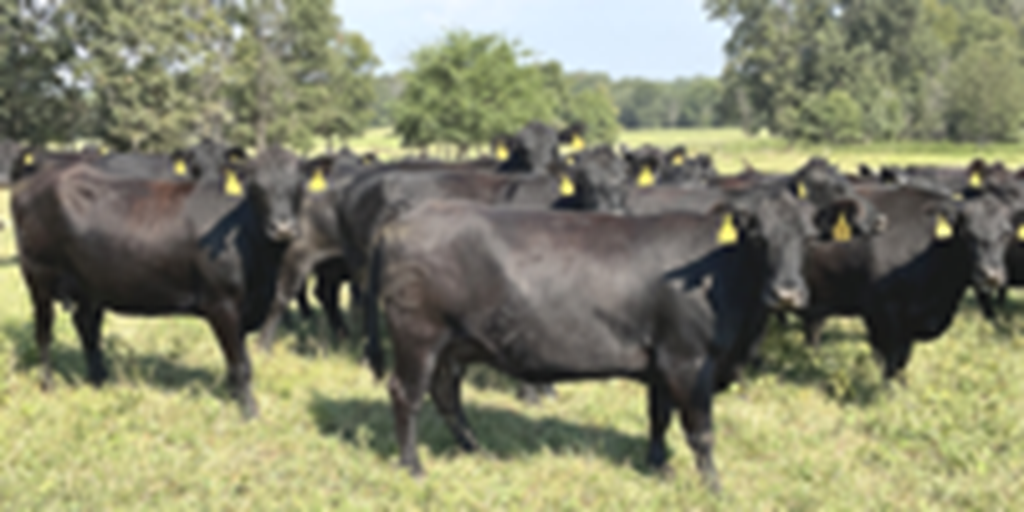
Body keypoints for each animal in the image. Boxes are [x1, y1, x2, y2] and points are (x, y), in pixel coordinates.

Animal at [10, 145, 310, 419]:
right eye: (256, 186)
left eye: (300, 185)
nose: (283, 227)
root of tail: (33, 181)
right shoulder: (221, 303)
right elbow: (240, 363)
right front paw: (249, 411)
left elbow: (241, 359)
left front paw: (236, 397)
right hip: (38, 276)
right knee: (44, 332)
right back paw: (48, 383)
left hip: (89, 282)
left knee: (86, 326)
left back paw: (99, 380)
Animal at [366, 182, 876, 489]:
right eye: (758, 236)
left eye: (810, 237)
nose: (787, 292)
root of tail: (408, 213)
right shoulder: (689, 361)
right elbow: (702, 431)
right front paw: (713, 485)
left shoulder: (662, 363)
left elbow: (658, 418)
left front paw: (659, 465)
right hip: (419, 337)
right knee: (407, 395)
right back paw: (413, 466)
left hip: (453, 346)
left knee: (446, 395)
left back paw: (476, 450)